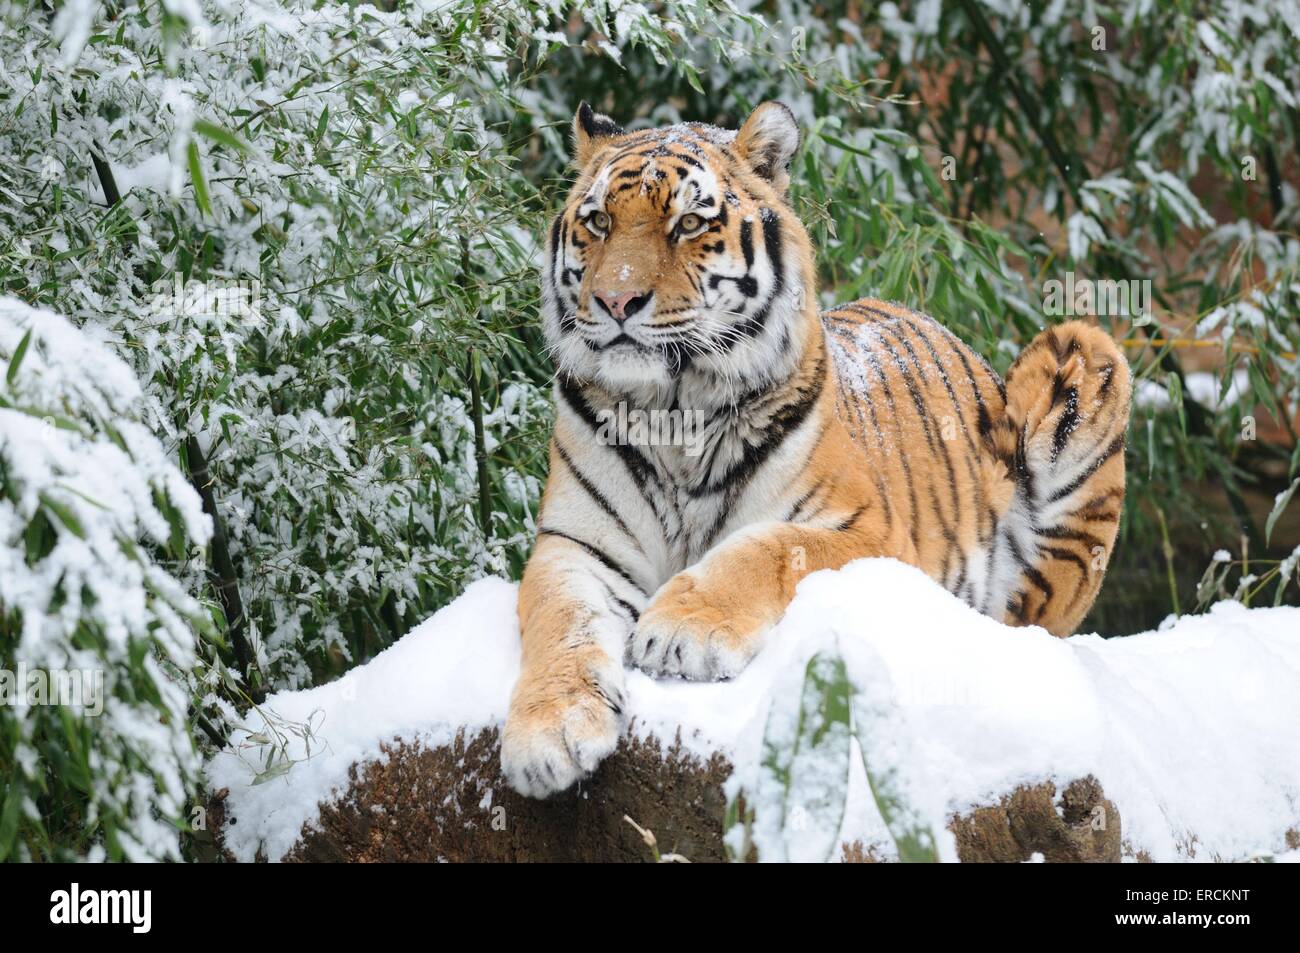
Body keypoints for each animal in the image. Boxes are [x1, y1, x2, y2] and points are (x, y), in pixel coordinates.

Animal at [501, 101, 1132, 798]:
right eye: (599, 222)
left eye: (688, 223)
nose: (615, 301)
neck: (675, 413)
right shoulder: (576, 544)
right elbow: (562, 622)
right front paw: (548, 733)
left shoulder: (873, 535)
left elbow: (766, 548)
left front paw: (680, 629)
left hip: (1083, 353)